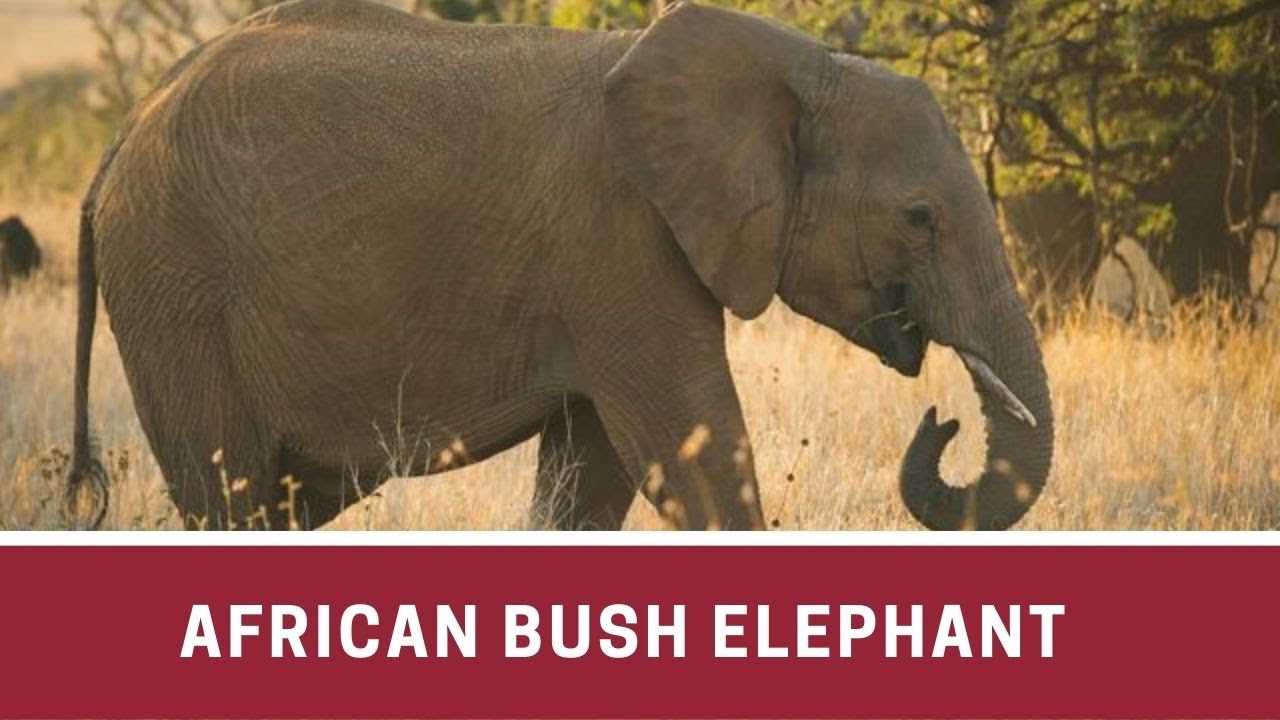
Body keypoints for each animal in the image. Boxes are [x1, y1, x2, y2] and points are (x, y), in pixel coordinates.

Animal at [66, 0, 1054, 530]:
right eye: (920, 219)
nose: (941, 420)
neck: (796, 65)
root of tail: (118, 142)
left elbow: (594, 476)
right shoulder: (618, 242)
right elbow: (690, 455)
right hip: (177, 294)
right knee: (233, 499)